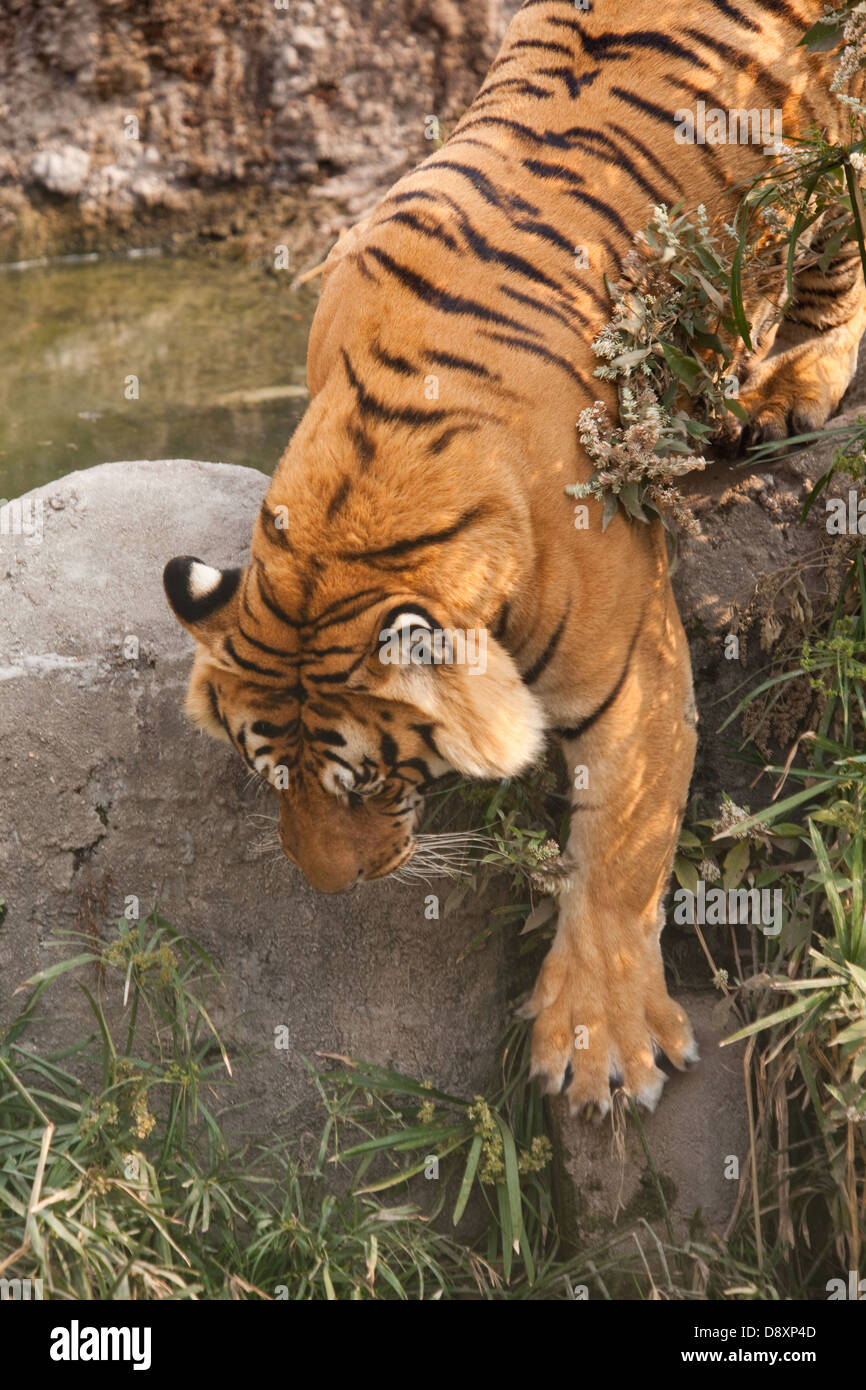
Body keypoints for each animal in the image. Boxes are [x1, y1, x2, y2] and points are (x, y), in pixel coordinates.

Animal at [164, 0, 866, 1115]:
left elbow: (618, 852)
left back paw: (785, 387)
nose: (328, 886)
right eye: (266, 775)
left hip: (828, 166)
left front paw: (600, 1046)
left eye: (366, 781)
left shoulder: (631, 671)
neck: (365, 483)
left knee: (836, 268)